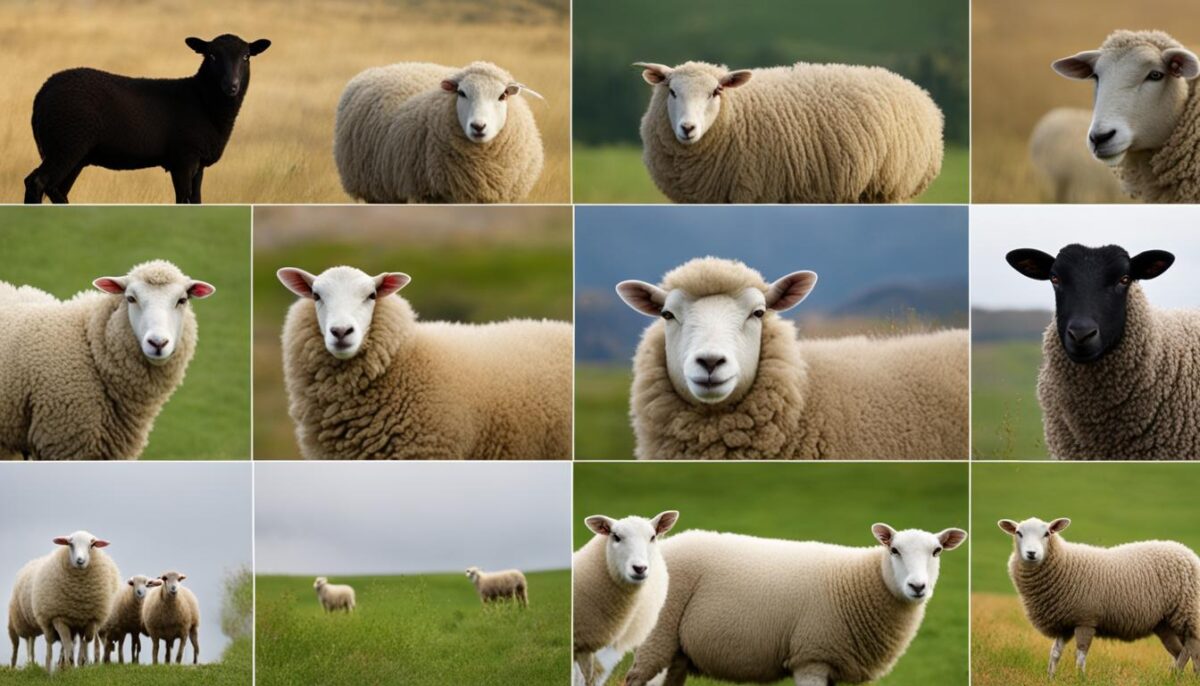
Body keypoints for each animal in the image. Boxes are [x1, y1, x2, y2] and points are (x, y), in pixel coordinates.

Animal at [24, 34, 270, 204]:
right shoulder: (183, 158)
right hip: (66, 144)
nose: (232, 86)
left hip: (74, 153)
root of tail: (43, 92)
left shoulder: (198, 163)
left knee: (55, 189)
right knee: (37, 182)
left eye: (246, 57)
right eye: (211, 56)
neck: (202, 100)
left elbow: (197, 200)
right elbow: (183, 200)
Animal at [28, 531, 121, 671]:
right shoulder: (59, 619)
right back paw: (51, 668)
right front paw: (69, 664)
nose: (80, 560)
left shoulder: (91, 620)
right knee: (51, 645)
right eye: (70, 544)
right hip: (49, 624)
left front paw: (81, 662)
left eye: (92, 544)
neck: (79, 596)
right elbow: (67, 643)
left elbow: (86, 640)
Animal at [625, 524, 966, 685]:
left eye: (936, 551)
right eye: (894, 550)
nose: (917, 587)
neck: (859, 582)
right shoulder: (812, 657)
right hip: (658, 636)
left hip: (676, 653)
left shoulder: (830, 662)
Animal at [634, 60, 943, 204]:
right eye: (672, 92)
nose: (688, 128)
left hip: (889, 188)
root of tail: (920, 93)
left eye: (716, 91)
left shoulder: (755, 190)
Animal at [998, 517, 1200, 676]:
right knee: (1182, 651)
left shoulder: (1086, 619)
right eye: (1018, 533)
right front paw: (1050, 678)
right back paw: (1182, 676)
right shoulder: (1066, 622)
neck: (1064, 563)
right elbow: (1054, 653)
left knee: (1192, 647)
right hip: (1164, 624)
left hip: (1187, 611)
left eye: (1047, 533)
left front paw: (1080, 679)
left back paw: (1178, 674)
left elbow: (1080, 656)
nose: (1031, 553)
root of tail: (1188, 552)